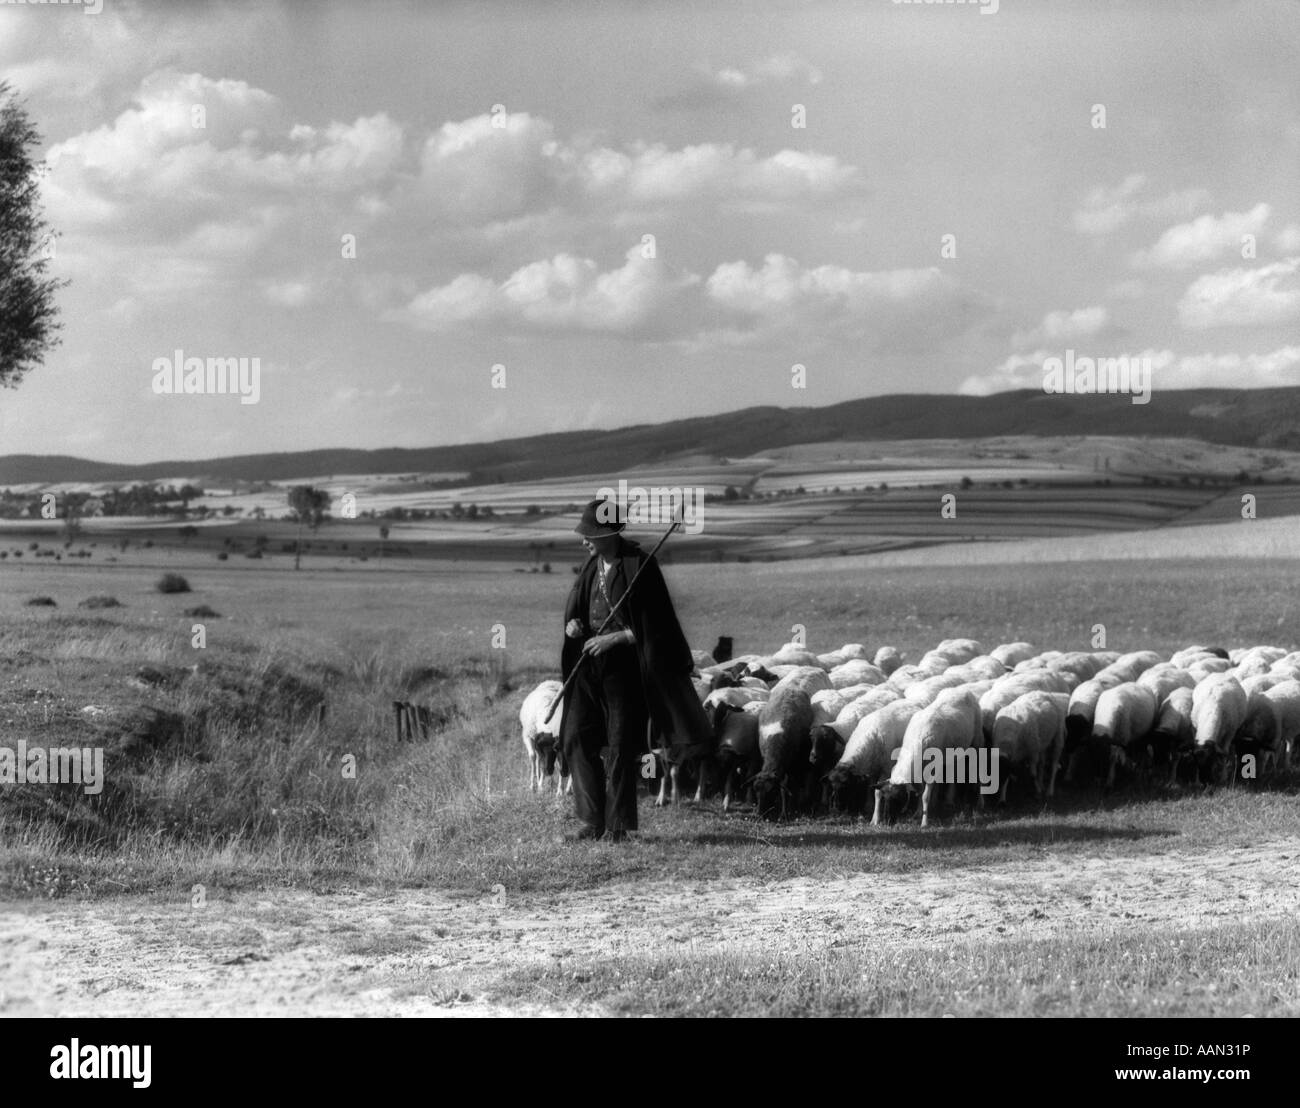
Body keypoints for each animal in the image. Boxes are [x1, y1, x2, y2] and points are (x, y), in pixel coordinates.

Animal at [752, 685, 815, 819]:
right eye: (755, 790)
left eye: (771, 791)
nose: (759, 815)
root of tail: (791, 686)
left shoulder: (792, 766)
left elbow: (785, 788)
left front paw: (785, 813)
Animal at [874, 688, 983, 828]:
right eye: (885, 797)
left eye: (899, 797)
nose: (887, 822)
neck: (916, 742)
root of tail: (961, 689)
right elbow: (920, 791)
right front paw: (918, 813)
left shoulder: (932, 769)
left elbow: (925, 795)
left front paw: (924, 822)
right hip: (954, 749)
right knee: (953, 770)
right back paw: (949, 800)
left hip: (977, 740)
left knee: (979, 767)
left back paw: (980, 802)